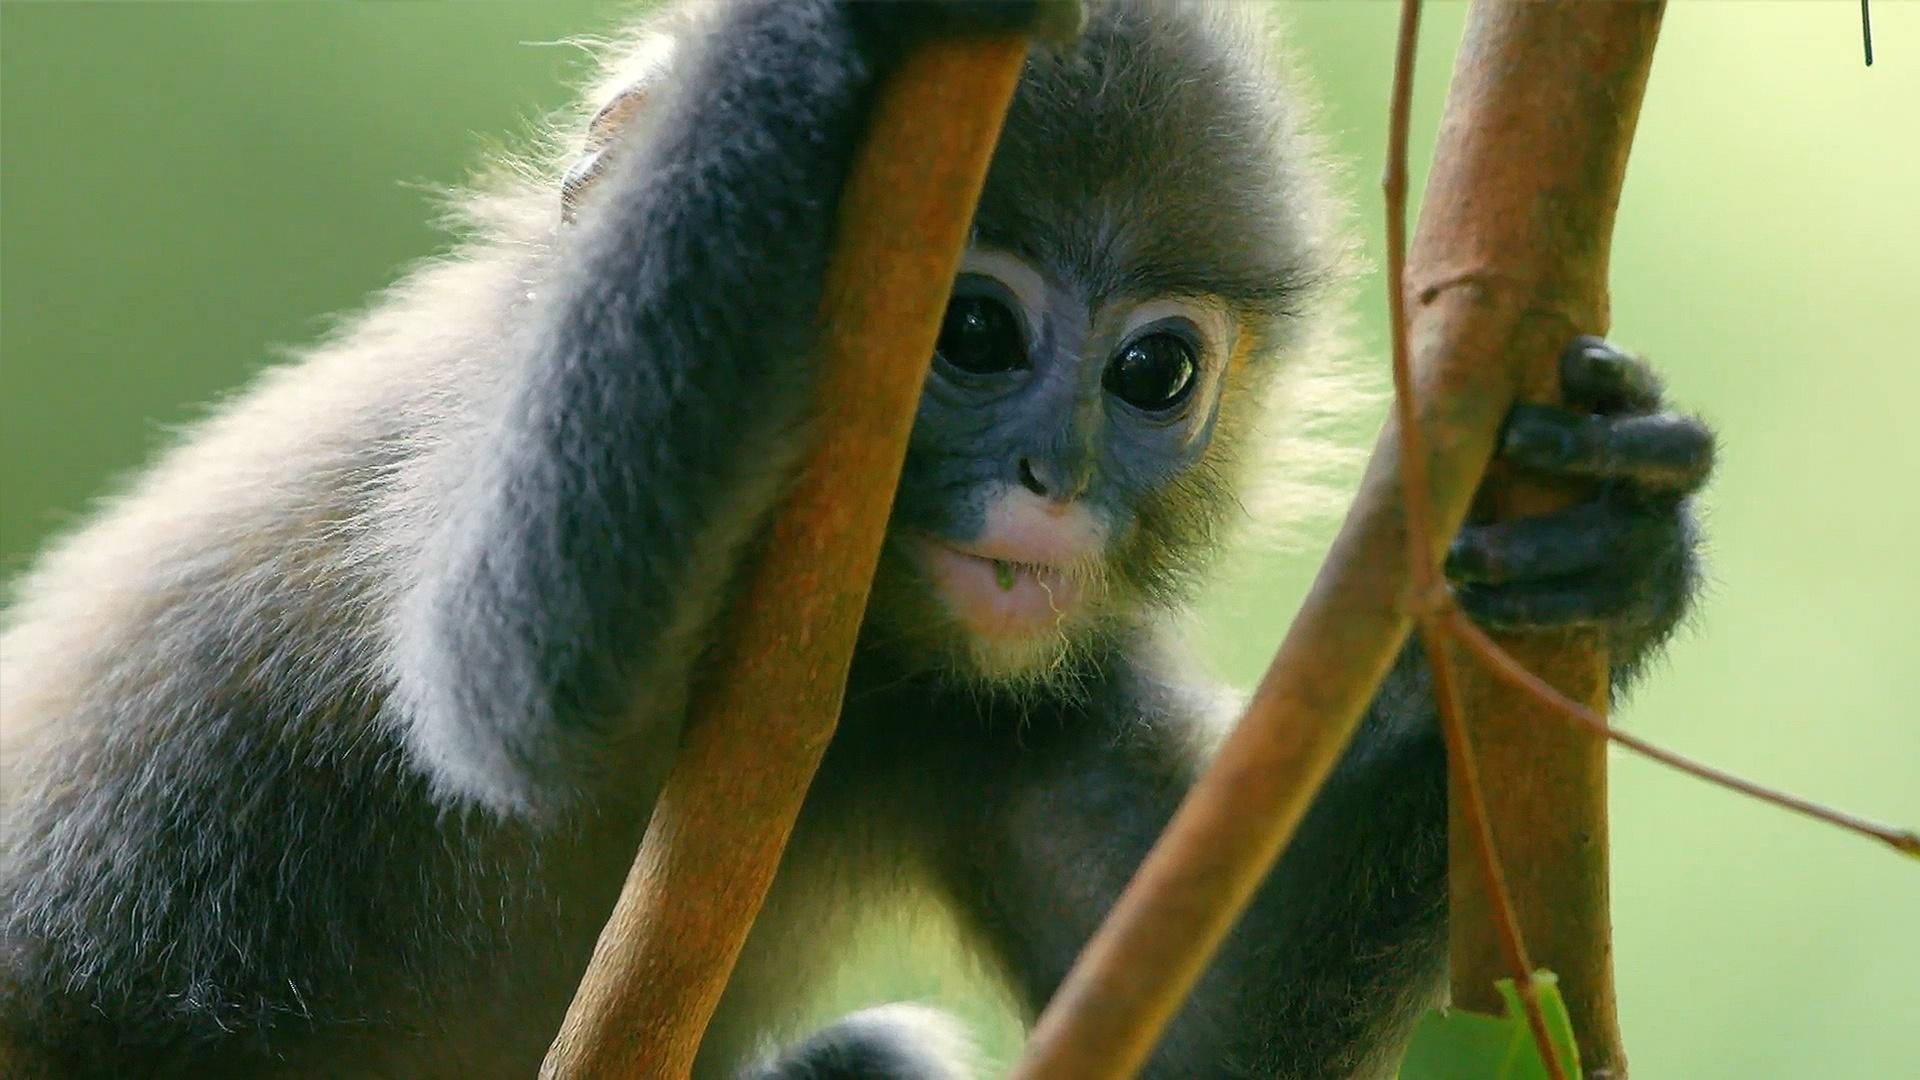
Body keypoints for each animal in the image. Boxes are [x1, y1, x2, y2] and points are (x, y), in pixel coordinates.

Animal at [0, 1, 1717, 1077]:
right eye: (973, 330)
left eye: (1155, 372)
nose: (1052, 476)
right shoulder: (462, 423)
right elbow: (512, 693)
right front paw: (840, 27)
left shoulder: (1004, 694)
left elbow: (1197, 1034)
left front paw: (1609, 549)